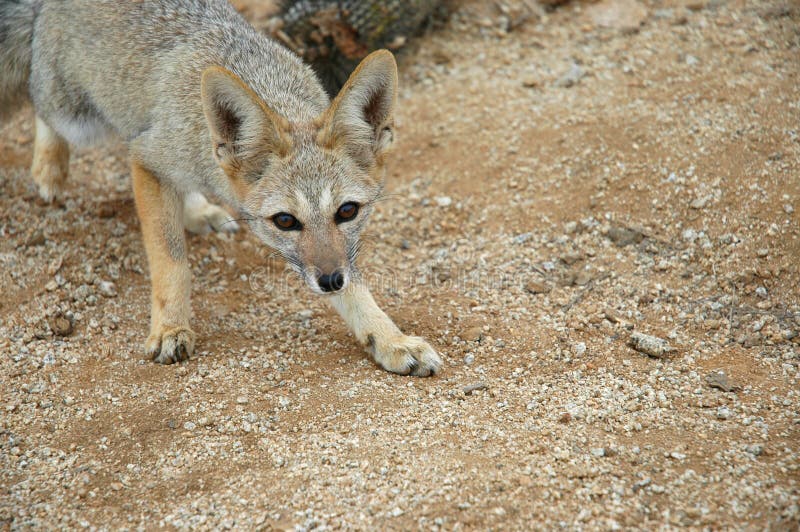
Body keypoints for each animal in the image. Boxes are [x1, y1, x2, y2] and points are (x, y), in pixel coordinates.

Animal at [0, 0, 440, 376]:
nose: (330, 281)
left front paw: (390, 339)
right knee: (40, 104)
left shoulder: (336, 258)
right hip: (77, 118)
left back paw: (196, 209)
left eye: (347, 211)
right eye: (285, 221)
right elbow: (171, 263)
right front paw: (169, 328)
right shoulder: (147, 159)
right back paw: (49, 166)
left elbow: (358, 290)